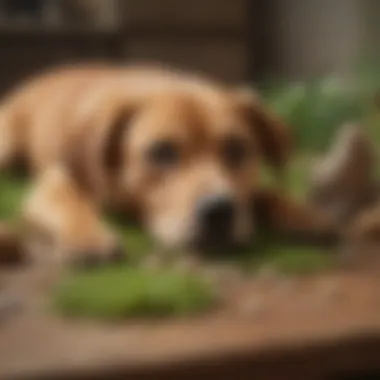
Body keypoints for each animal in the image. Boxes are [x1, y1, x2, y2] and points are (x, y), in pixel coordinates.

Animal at [0, 63, 336, 264]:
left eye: (237, 149)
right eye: (161, 152)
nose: (218, 212)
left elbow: (263, 193)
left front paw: (301, 212)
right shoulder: (57, 180)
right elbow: (69, 201)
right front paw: (87, 235)